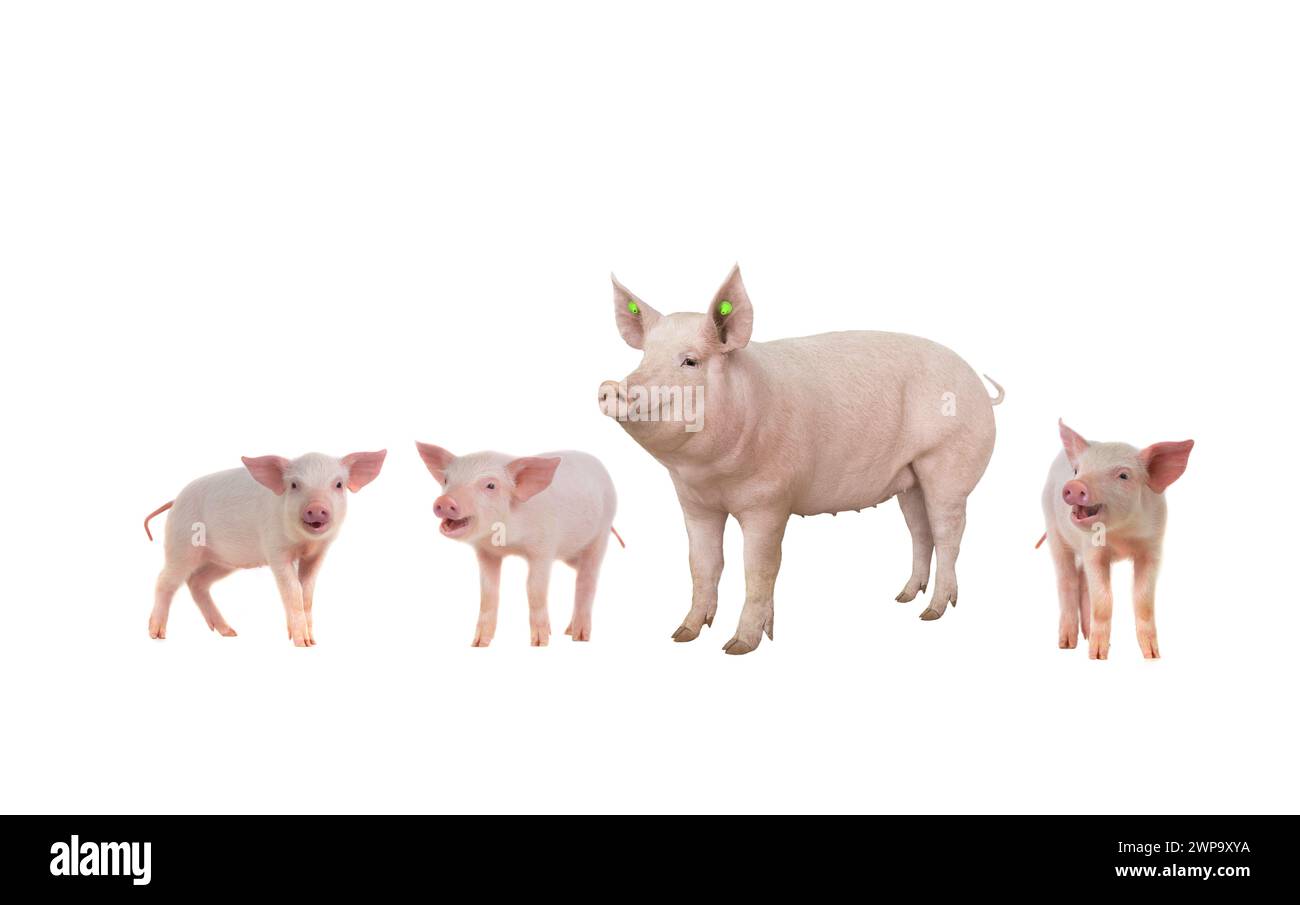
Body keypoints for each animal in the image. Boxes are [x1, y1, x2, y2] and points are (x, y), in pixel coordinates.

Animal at [144, 450, 387, 646]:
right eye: (294, 485)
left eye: (338, 484)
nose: (317, 507)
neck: (303, 543)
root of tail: (175, 500)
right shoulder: (276, 551)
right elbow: (292, 591)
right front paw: (302, 644)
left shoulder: (318, 553)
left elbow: (306, 593)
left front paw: (312, 641)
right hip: (181, 545)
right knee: (165, 581)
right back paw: (157, 634)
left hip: (222, 561)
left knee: (197, 582)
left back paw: (230, 632)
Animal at [415, 443, 621, 646]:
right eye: (446, 480)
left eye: (490, 485)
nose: (444, 501)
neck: (509, 543)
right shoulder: (486, 552)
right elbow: (488, 591)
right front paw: (478, 643)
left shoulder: (544, 548)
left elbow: (534, 588)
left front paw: (539, 643)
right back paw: (567, 631)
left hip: (601, 532)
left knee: (587, 580)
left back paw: (579, 637)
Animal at [598, 265, 1002, 654]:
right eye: (645, 357)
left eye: (690, 361)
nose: (611, 387)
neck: (713, 476)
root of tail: (978, 385)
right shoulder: (694, 503)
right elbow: (703, 566)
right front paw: (682, 635)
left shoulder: (770, 501)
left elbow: (758, 569)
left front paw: (738, 646)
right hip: (910, 478)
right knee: (921, 532)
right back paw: (903, 597)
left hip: (948, 465)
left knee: (948, 534)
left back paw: (931, 612)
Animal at [1040, 421, 1193, 659]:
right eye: (1077, 470)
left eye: (1123, 476)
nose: (1075, 485)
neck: (1122, 535)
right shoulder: (1093, 549)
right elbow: (1103, 600)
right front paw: (1097, 656)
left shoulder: (1153, 548)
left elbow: (1143, 600)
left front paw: (1152, 656)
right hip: (1052, 526)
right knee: (1067, 579)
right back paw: (1067, 644)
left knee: (1082, 577)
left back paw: (1086, 634)